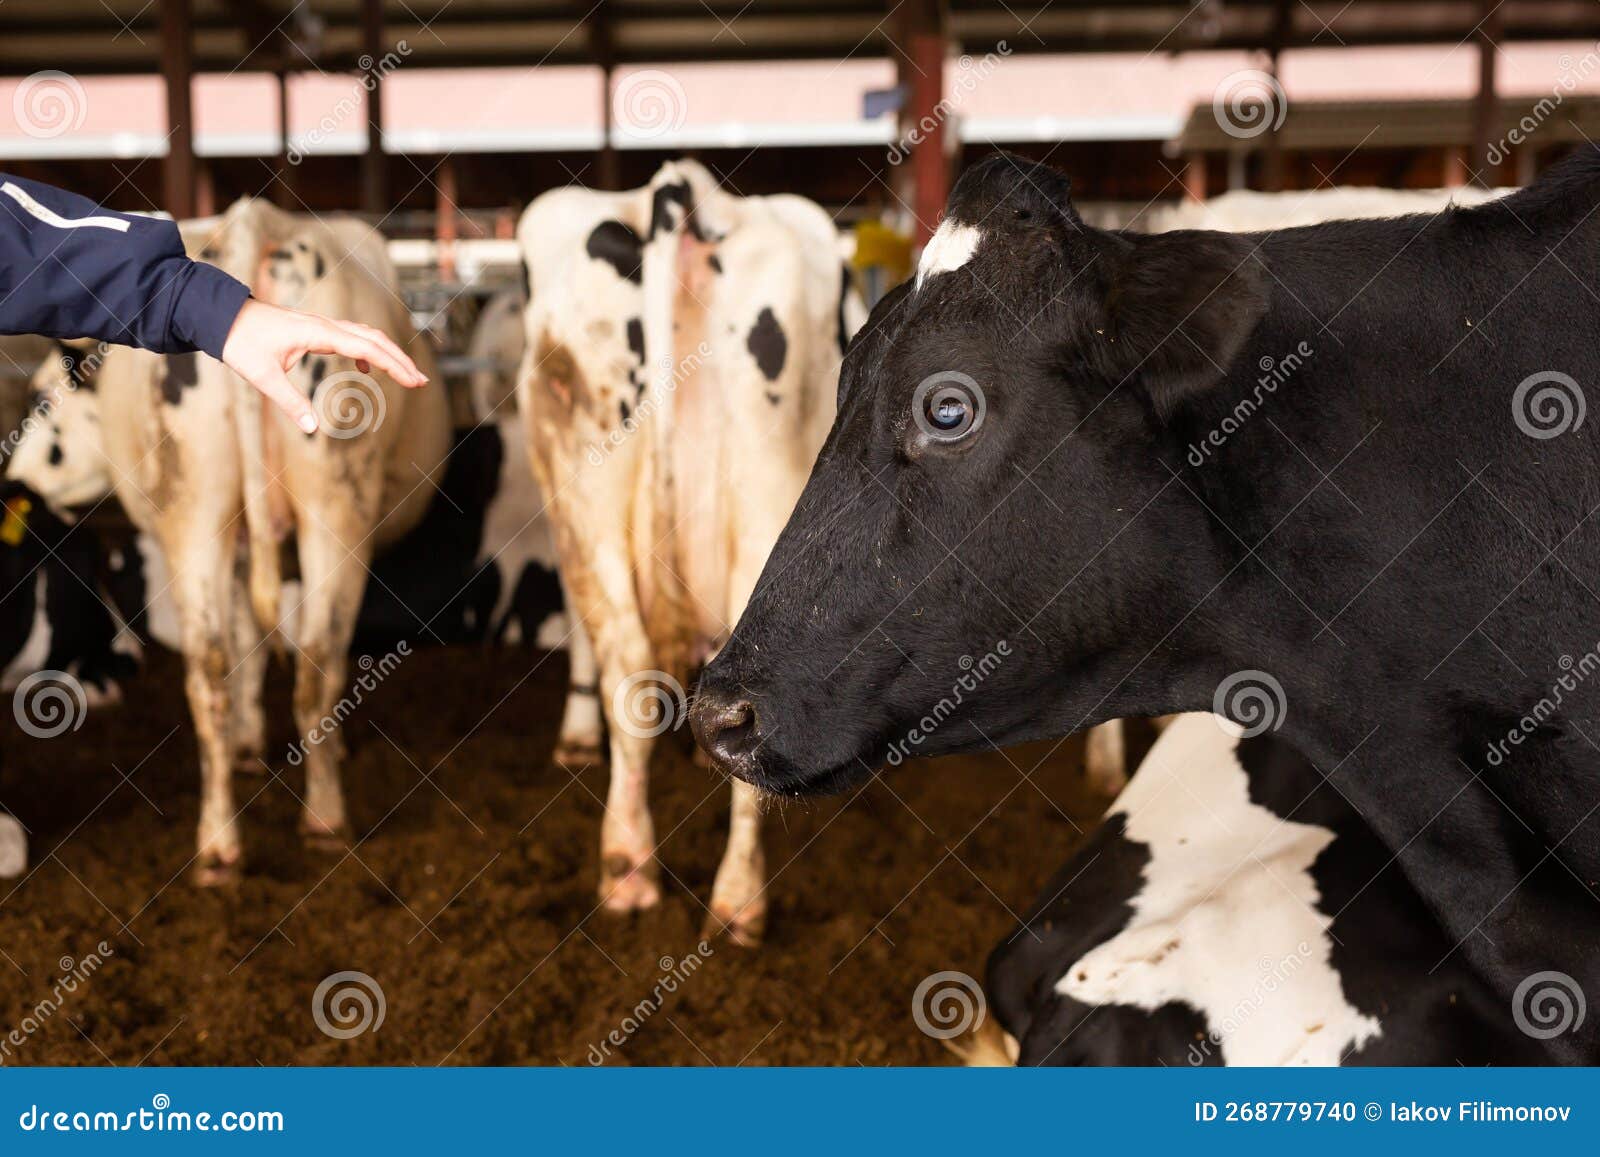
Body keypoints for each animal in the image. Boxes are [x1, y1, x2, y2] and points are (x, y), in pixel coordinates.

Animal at [7, 198, 452, 884]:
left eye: (41, 403)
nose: (14, 479)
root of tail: (255, 222)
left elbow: (246, 640)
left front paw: (248, 742)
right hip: (335, 511)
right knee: (317, 659)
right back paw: (324, 817)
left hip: (198, 513)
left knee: (209, 669)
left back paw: (219, 845)